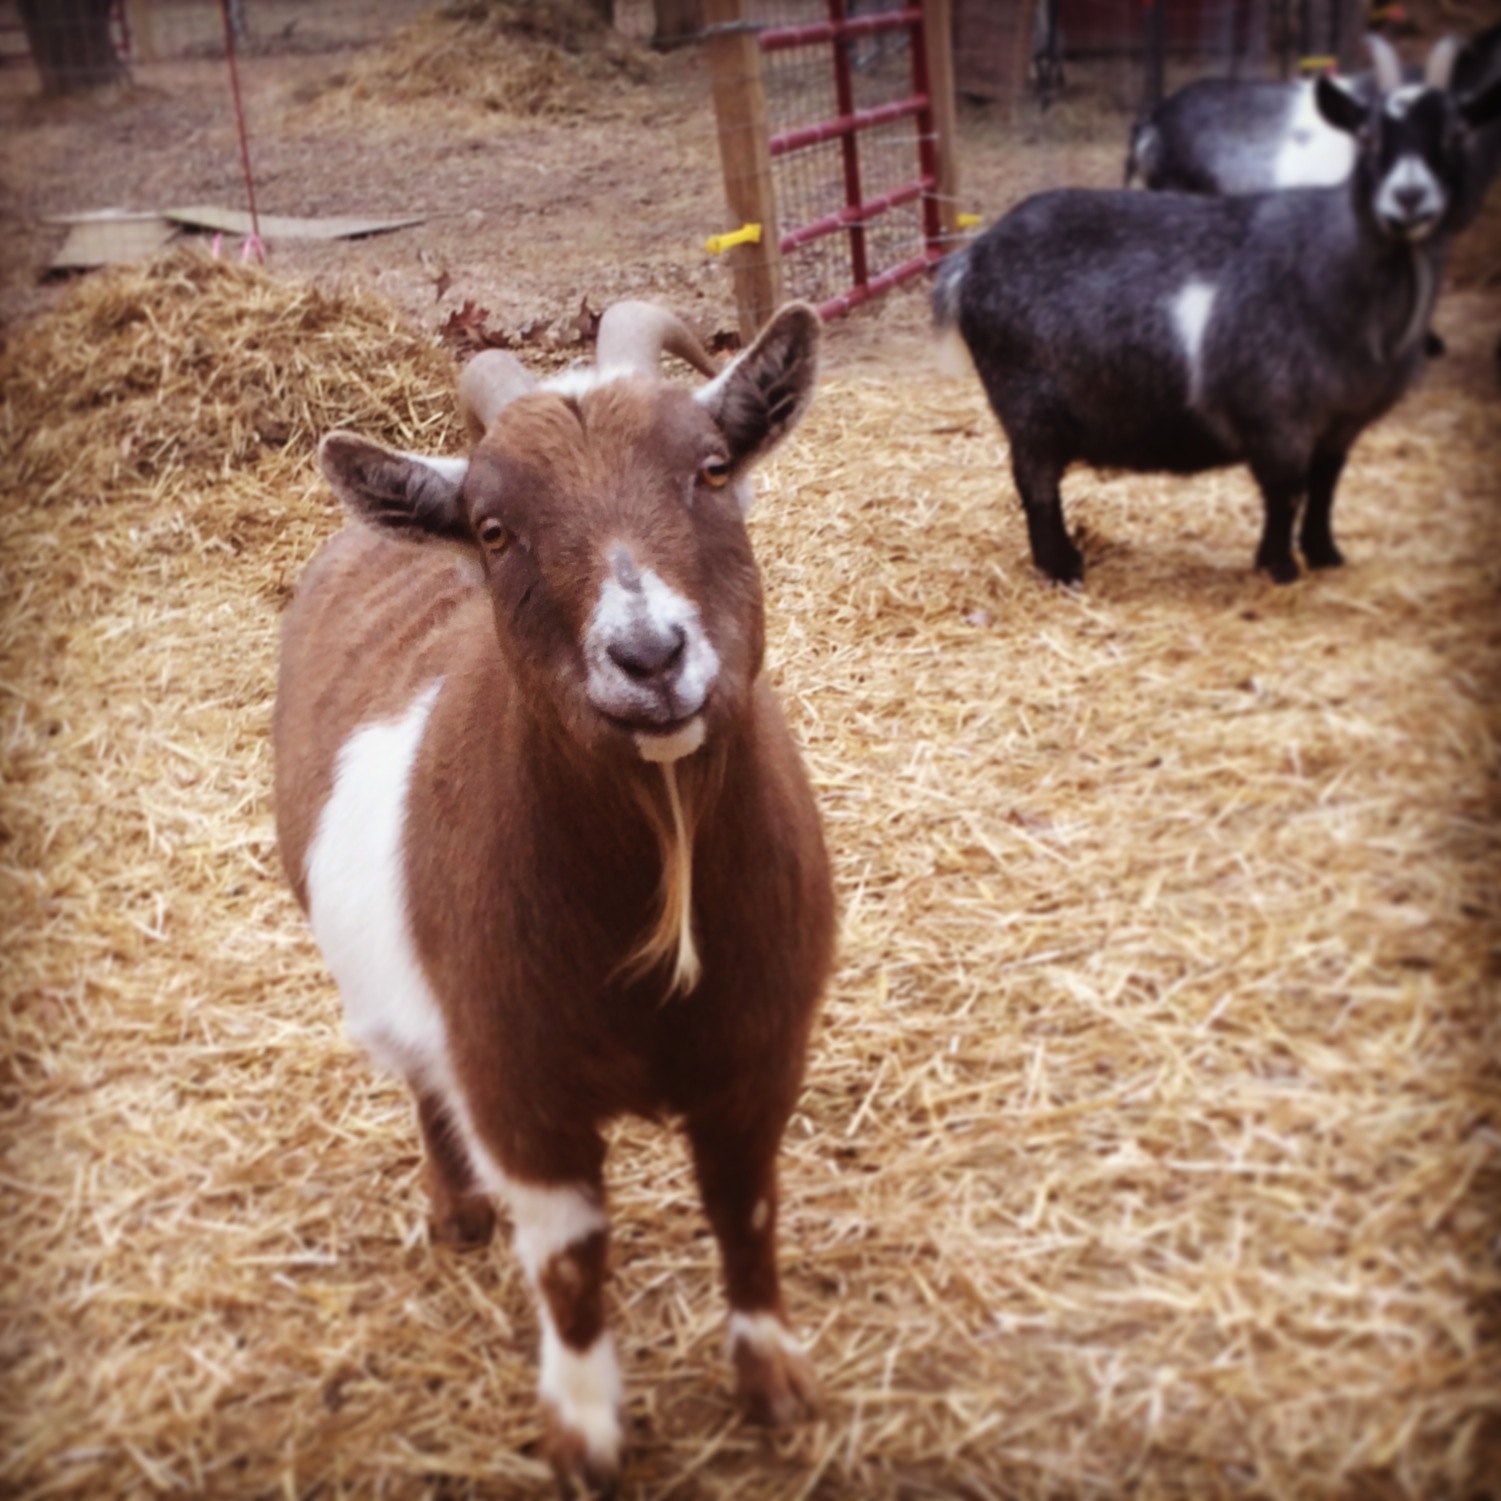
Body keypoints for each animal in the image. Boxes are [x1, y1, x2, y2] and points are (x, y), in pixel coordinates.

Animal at [273, 299, 834, 1497]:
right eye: (495, 530)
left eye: (711, 468)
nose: (649, 654)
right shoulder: (517, 1085)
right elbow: (571, 1260)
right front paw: (584, 1434)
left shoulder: (760, 1051)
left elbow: (747, 1209)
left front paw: (775, 1384)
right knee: (421, 1082)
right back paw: (456, 1211)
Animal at [933, 38, 1501, 586]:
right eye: (1368, 136)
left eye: (1455, 133)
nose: (1409, 198)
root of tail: (971, 259)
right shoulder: (1276, 414)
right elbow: (1285, 491)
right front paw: (1279, 568)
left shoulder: (1342, 420)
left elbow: (1325, 485)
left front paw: (1324, 554)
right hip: (1027, 404)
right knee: (1035, 481)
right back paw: (1062, 567)